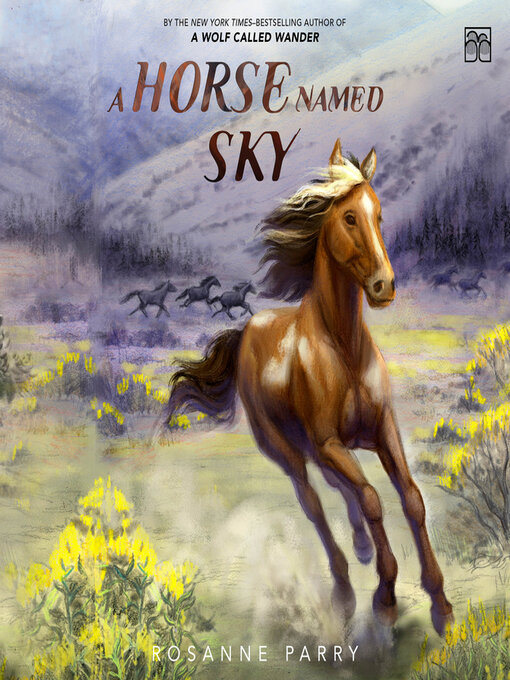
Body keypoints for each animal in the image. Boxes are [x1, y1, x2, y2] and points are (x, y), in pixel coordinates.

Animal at [166, 139, 453, 635]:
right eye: (350, 217)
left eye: (380, 215)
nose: (385, 286)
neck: (344, 348)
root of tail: (248, 330)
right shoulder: (331, 441)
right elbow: (373, 499)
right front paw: (385, 596)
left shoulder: (381, 431)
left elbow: (411, 499)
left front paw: (440, 602)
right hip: (288, 452)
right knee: (315, 502)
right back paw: (344, 587)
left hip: (317, 447)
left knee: (338, 489)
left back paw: (361, 548)